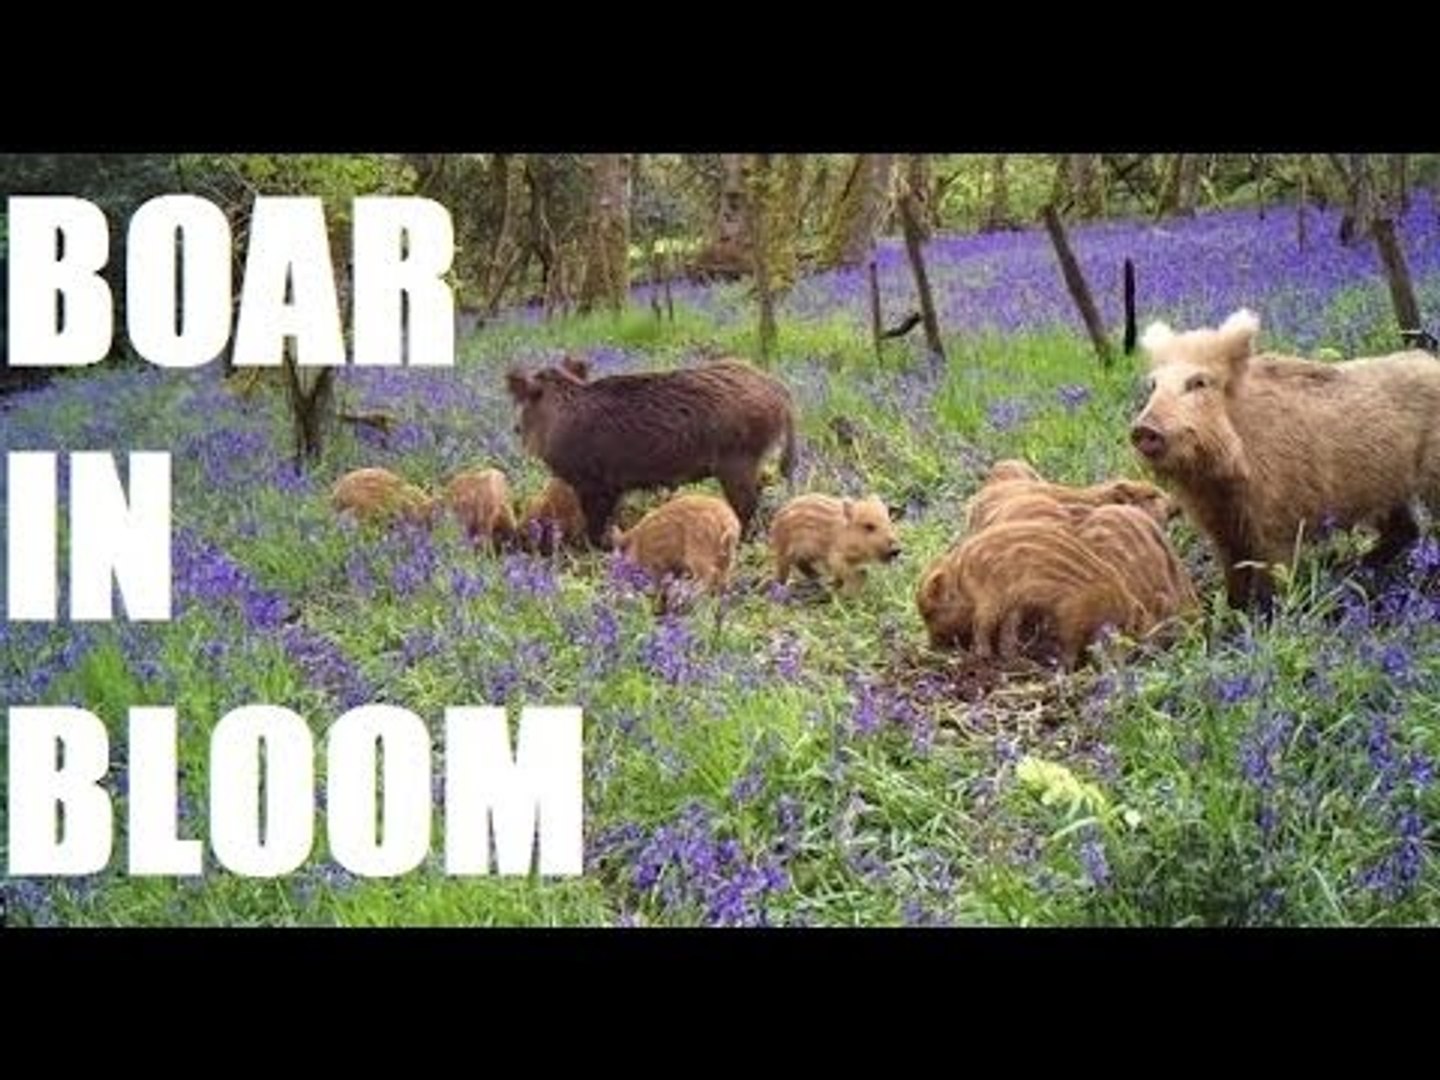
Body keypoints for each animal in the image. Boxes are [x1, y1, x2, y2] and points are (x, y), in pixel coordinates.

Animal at [769, 494, 903, 596]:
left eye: (889, 522)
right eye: (869, 526)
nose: (896, 550)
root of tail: (775, 521)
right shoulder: (835, 556)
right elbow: (854, 573)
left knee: (801, 564)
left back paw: (819, 578)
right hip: (785, 551)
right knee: (783, 573)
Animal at [1130, 308, 1440, 609]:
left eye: (1199, 382)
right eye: (1153, 385)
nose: (1142, 429)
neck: (1219, 480)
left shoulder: (1276, 525)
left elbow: (1271, 583)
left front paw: (1269, 616)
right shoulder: (1222, 531)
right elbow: (1234, 579)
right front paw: (1233, 614)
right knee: (1406, 530)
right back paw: (1356, 567)